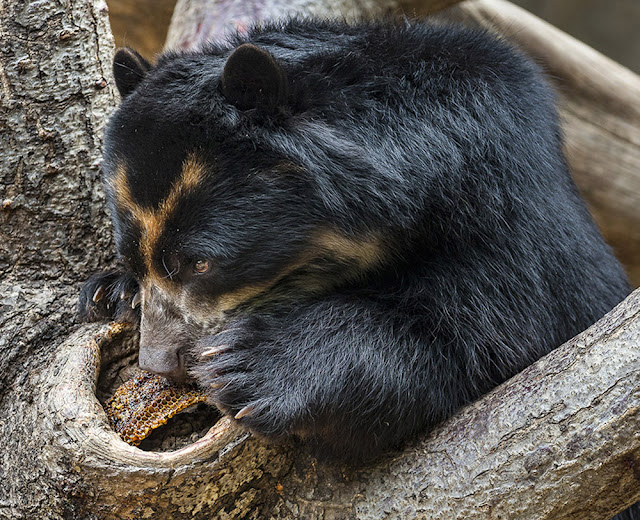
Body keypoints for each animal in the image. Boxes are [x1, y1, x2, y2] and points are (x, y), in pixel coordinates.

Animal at [79, 16, 631, 491]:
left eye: (200, 262)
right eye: (133, 257)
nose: (159, 362)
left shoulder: (506, 204)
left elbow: (487, 328)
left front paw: (248, 370)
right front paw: (113, 294)